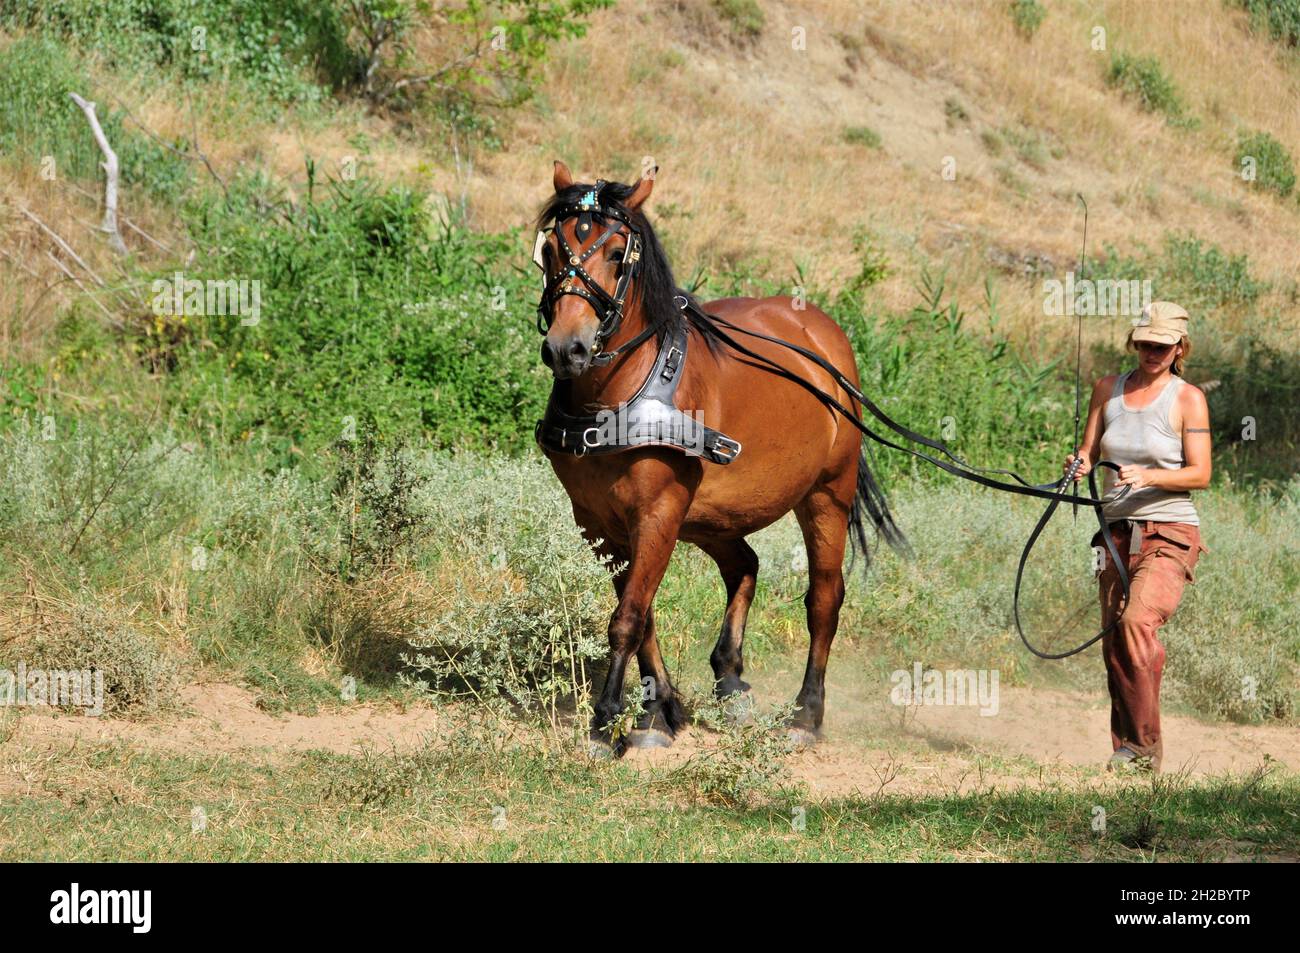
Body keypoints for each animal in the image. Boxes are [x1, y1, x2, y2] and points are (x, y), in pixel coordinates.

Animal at [533, 161, 910, 755]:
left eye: (617, 252)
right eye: (551, 248)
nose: (565, 349)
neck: (614, 396)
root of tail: (822, 335)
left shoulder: (659, 512)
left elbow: (628, 617)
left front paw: (605, 722)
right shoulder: (598, 525)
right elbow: (645, 614)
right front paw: (657, 711)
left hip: (826, 493)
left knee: (824, 599)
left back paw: (806, 713)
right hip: (712, 515)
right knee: (744, 566)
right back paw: (730, 679)